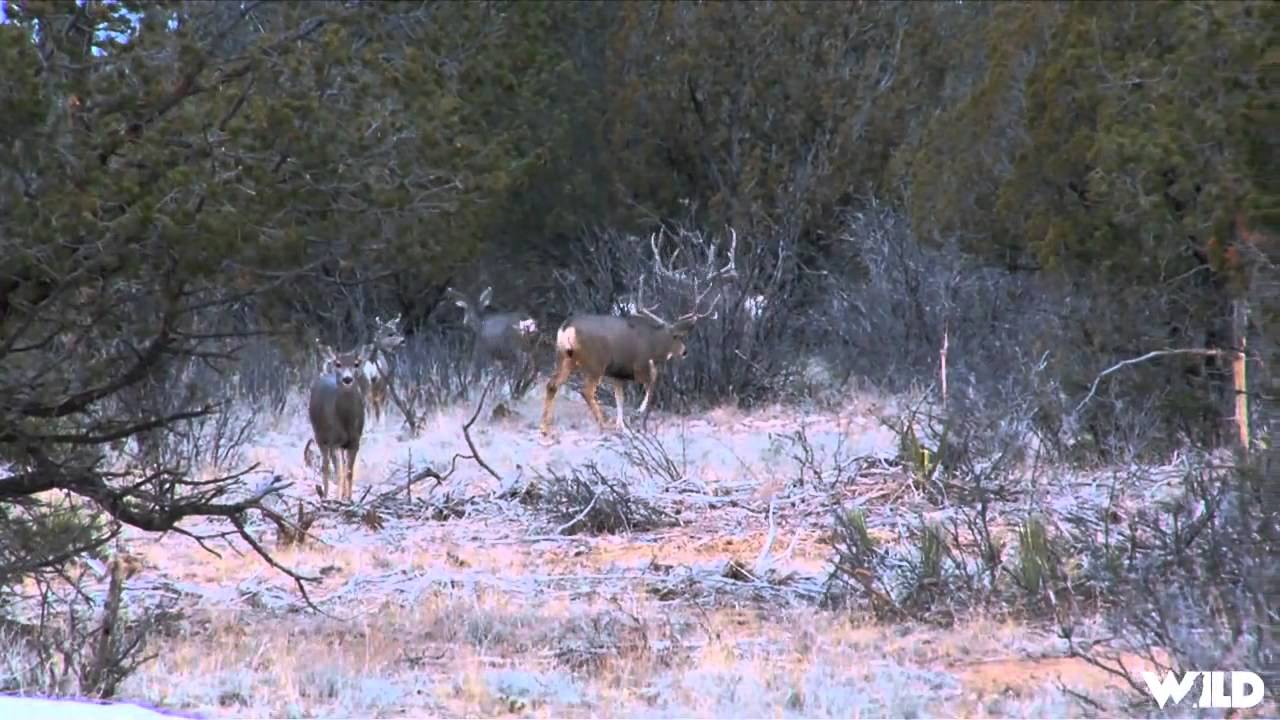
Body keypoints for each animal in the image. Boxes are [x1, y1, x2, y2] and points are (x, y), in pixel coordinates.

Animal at [307, 342, 367, 501]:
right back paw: (325, 496)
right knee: (325, 466)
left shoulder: (355, 442)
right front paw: (338, 499)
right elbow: (339, 473)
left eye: (356, 363)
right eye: (338, 364)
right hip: (320, 437)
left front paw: (349, 499)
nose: (347, 379)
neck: (346, 420)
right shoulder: (333, 441)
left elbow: (349, 472)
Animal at [540, 229, 738, 435]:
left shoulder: (617, 374)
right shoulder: (640, 365)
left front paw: (622, 425)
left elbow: (620, 399)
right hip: (596, 361)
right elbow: (651, 389)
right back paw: (603, 424)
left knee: (552, 384)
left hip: (563, 356)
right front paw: (639, 415)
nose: (684, 351)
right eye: (678, 337)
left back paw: (545, 427)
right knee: (586, 391)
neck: (654, 342)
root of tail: (567, 327)